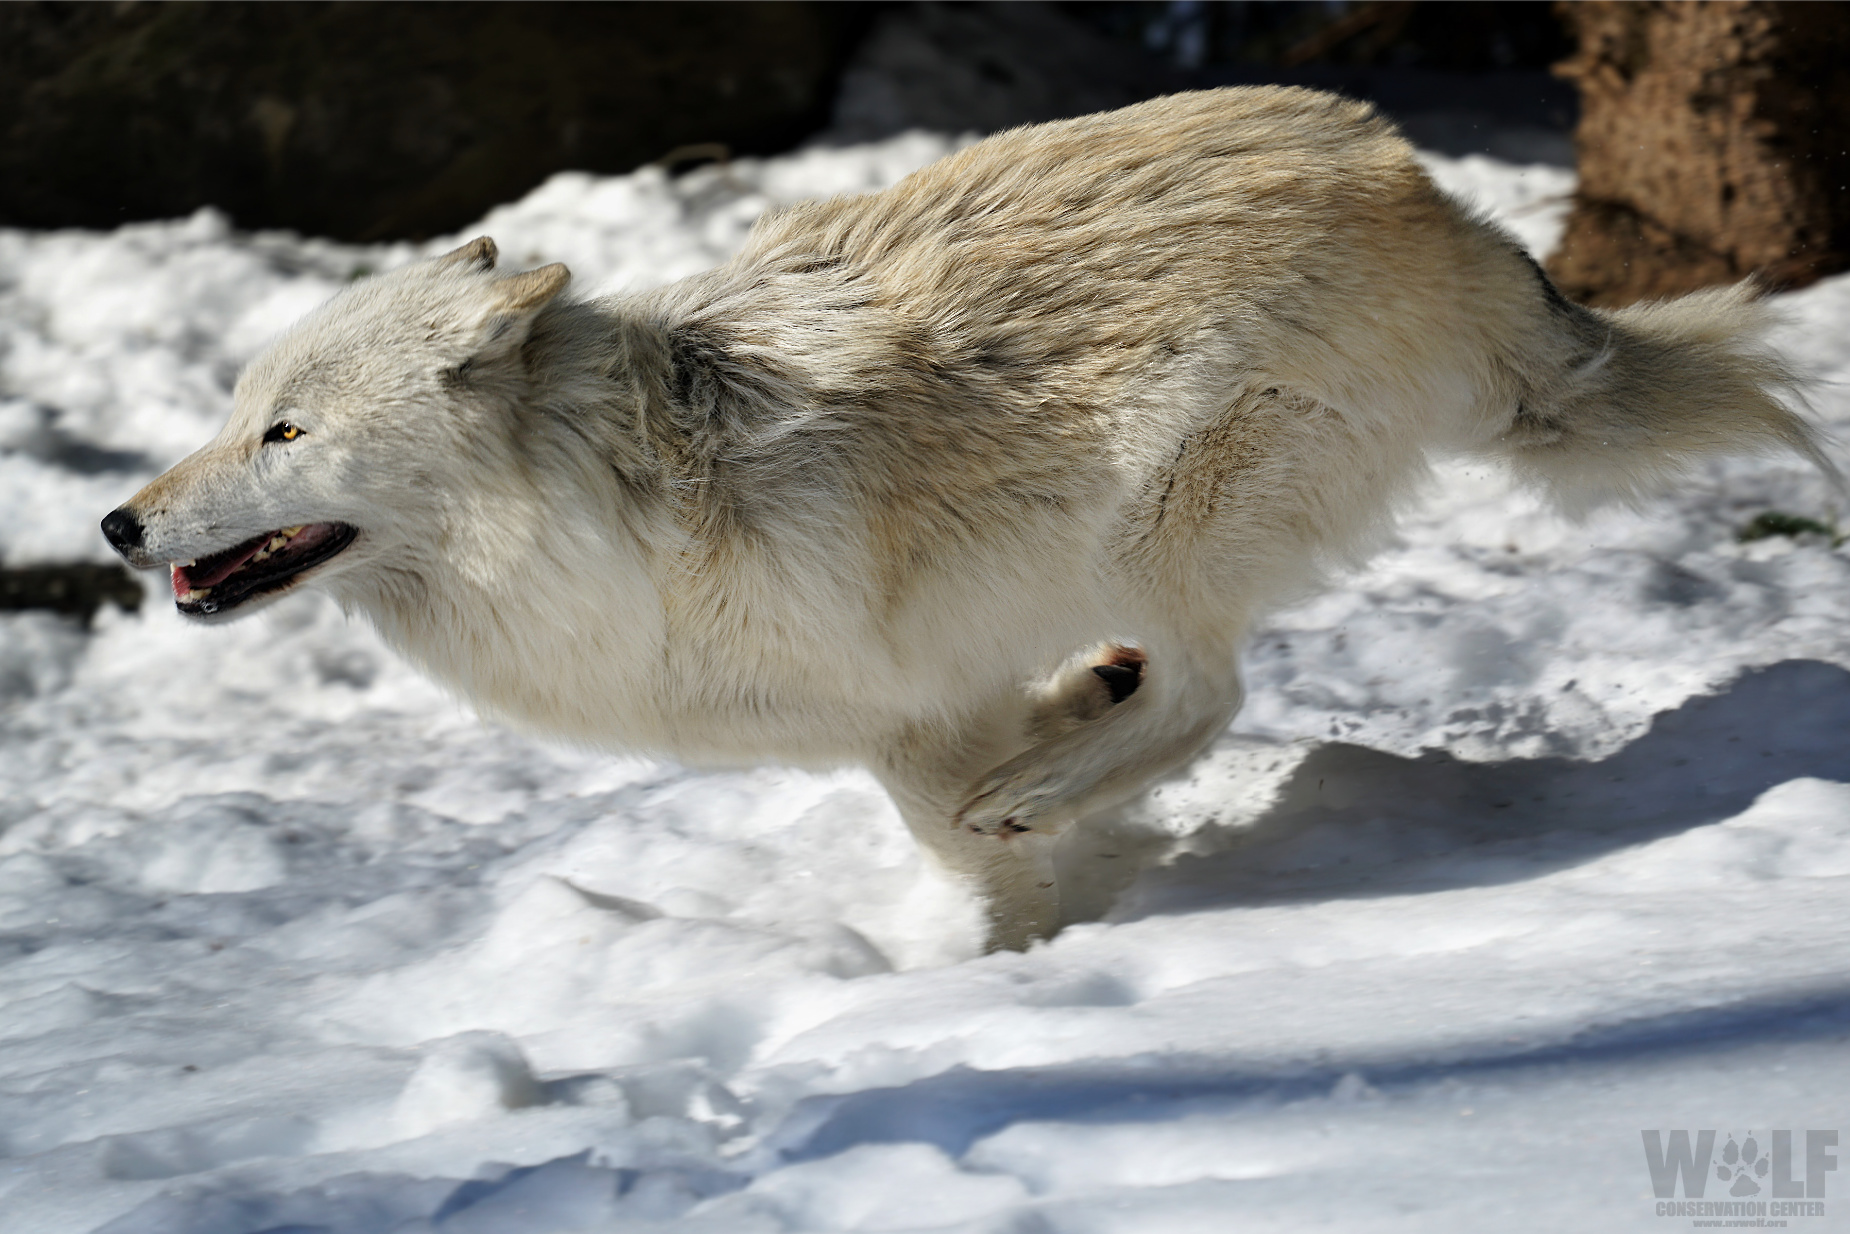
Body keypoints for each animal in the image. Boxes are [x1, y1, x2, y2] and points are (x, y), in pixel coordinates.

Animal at [103, 88, 1830, 949]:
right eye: (233, 410)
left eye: (285, 430)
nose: (118, 526)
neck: (604, 512)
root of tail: (1423, 184)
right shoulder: (913, 705)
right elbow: (977, 803)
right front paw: (1039, 892)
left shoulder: (902, 706)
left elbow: (966, 830)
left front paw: (1010, 949)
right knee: (1183, 684)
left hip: (1161, 514)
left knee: (1214, 689)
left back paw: (1057, 770)